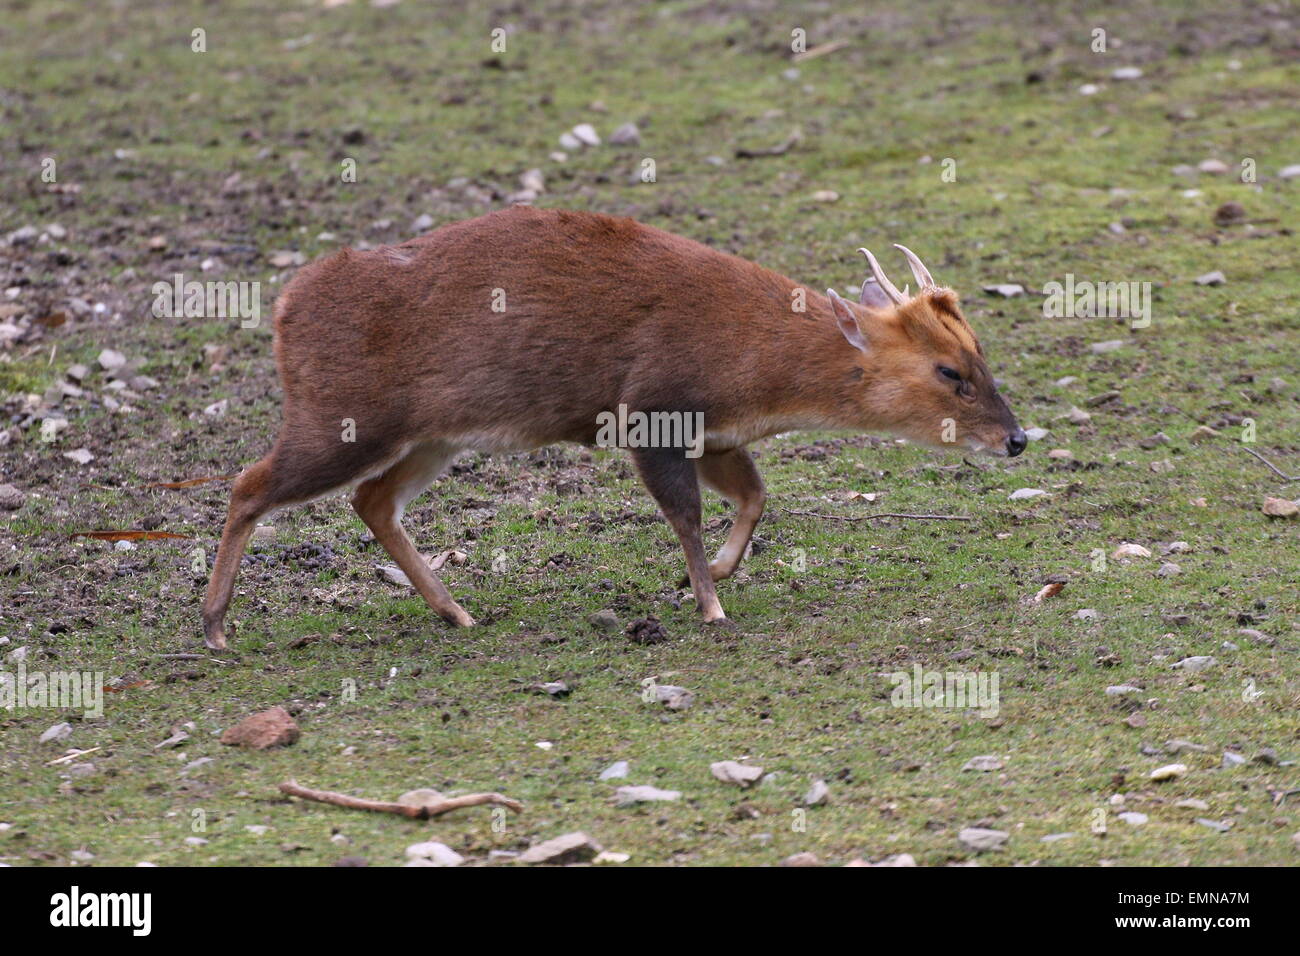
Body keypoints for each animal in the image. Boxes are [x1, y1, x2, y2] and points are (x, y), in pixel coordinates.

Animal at [202, 205, 1025, 649]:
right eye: (950, 371)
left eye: (980, 352)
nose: (1016, 438)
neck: (752, 364)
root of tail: (284, 309)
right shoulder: (651, 409)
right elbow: (686, 511)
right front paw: (711, 603)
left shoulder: (712, 432)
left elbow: (754, 495)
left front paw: (713, 574)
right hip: (340, 417)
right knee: (249, 483)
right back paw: (214, 623)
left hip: (432, 436)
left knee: (370, 501)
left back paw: (457, 611)